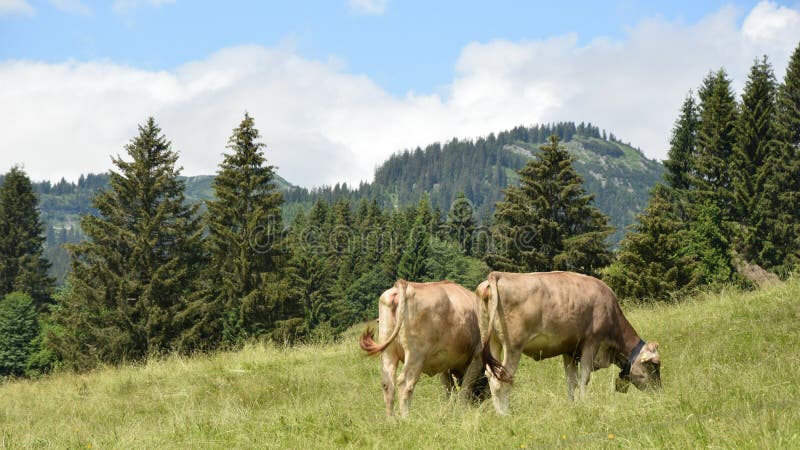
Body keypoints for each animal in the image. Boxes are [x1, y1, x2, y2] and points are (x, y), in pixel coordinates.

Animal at [359, 279, 491, 418]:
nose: (479, 401)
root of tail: (404, 284)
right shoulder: (476, 357)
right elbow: (466, 386)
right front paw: (462, 409)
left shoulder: (444, 362)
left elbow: (449, 389)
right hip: (415, 355)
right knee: (405, 383)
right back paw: (405, 419)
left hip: (388, 352)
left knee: (388, 384)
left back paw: (392, 420)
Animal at [478, 271, 662, 415]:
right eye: (654, 364)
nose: (660, 392)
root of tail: (498, 275)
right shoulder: (591, 342)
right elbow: (584, 378)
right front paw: (585, 404)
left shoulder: (569, 350)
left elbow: (571, 381)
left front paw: (572, 405)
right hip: (513, 347)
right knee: (502, 378)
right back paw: (504, 414)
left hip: (493, 342)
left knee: (491, 374)